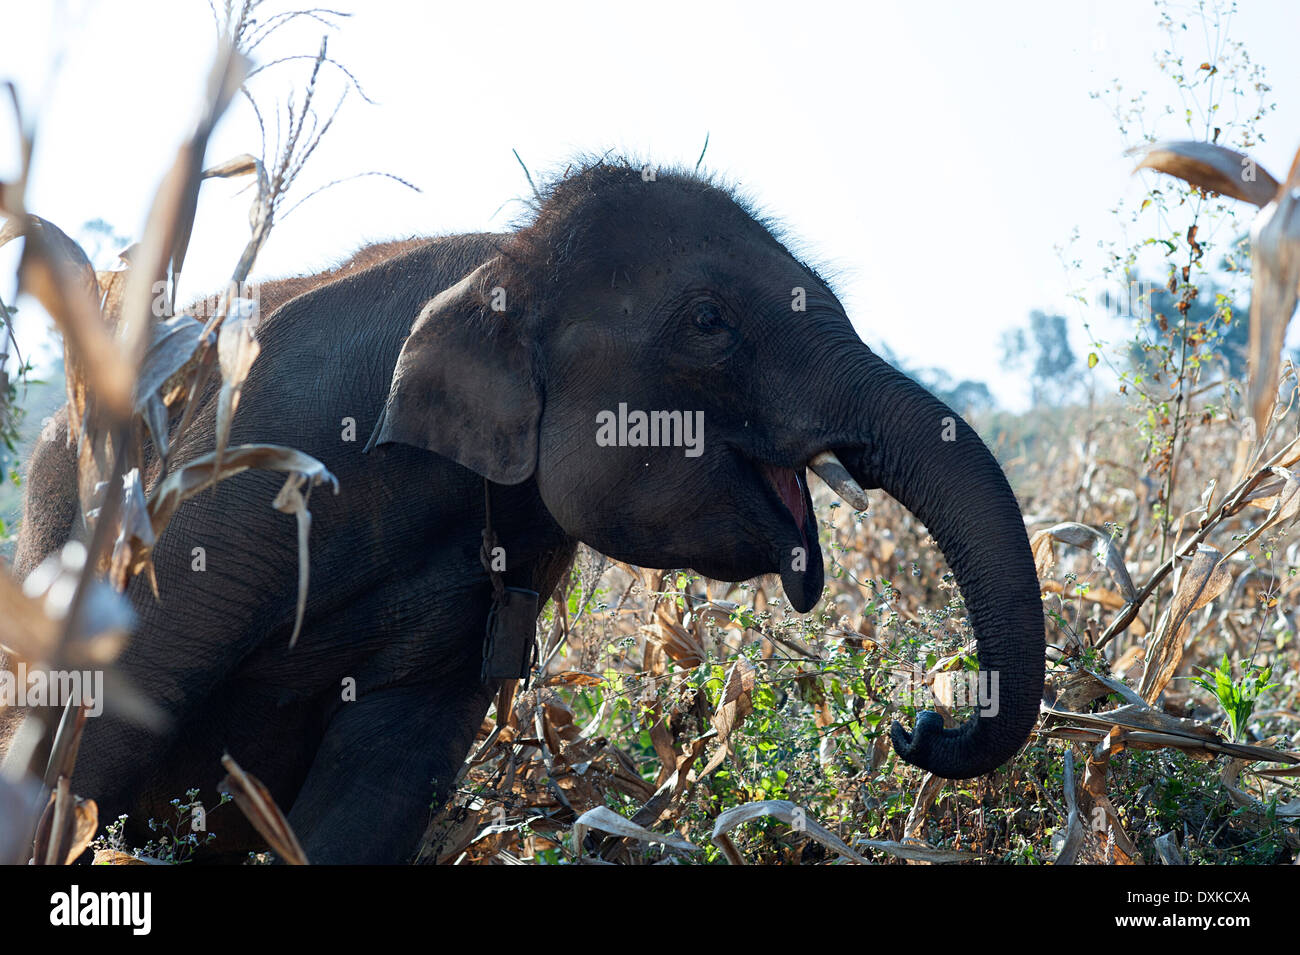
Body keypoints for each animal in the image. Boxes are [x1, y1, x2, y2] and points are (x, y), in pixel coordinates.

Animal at [1, 161, 1045, 864]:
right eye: (710, 322)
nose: (919, 722)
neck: (500, 259)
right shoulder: (238, 469)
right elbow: (115, 701)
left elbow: (383, 779)